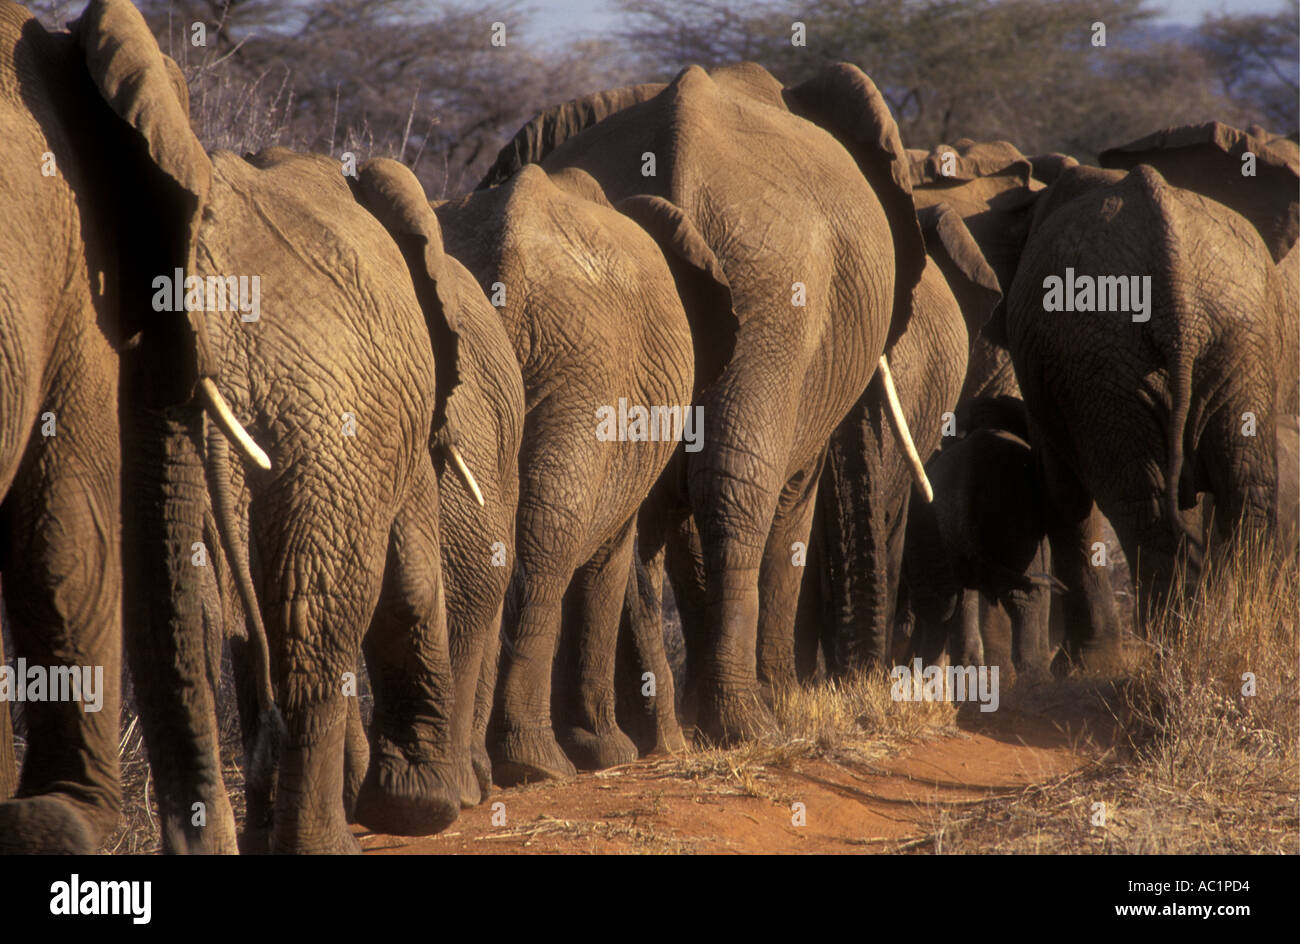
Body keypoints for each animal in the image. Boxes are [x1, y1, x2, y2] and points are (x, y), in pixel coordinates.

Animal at [67, 0, 486, 853]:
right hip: (331, 416)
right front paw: (417, 811)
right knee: (315, 604)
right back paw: (327, 839)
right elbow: (412, 563)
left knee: (191, 601)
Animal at [433, 163, 696, 782]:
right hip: (585, 371)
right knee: (548, 536)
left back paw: (490, 765)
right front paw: (610, 754)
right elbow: (608, 559)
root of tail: (508, 265)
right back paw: (539, 764)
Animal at [480, 61, 930, 745]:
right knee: (737, 486)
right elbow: (790, 496)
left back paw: (667, 731)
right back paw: (748, 724)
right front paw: (784, 702)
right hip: (775, 298)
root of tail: (679, 168)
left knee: (674, 498)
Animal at [998, 121, 1298, 622]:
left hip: (1113, 352)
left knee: (1146, 506)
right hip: (1226, 339)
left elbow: (1059, 492)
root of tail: (1173, 272)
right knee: (1242, 489)